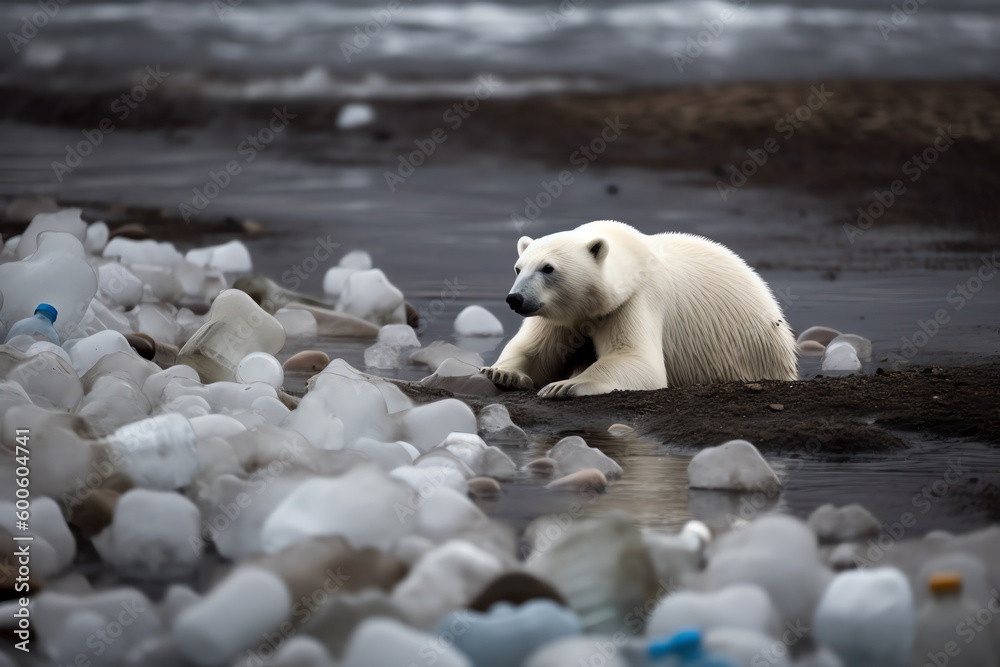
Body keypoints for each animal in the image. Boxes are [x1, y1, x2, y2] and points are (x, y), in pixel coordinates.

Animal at [481, 220, 798, 398]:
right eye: (518, 267)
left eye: (548, 268)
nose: (515, 299)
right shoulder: (563, 317)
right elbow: (534, 350)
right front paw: (501, 373)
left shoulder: (635, 299)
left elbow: (637, 359)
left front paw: (564, 386)